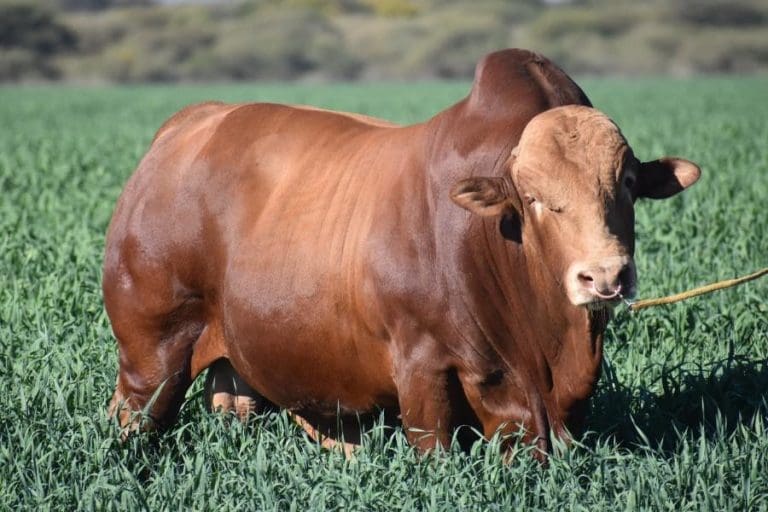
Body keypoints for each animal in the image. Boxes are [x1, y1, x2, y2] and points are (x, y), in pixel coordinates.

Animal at [104, 49, 700, 458]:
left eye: (627, 184)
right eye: (532, 198)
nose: (604, 276)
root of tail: (189, 123)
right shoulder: (422, 367)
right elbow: (435, 449)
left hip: (235, 360)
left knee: (235, 408)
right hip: (151, 353)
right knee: (133, 417)